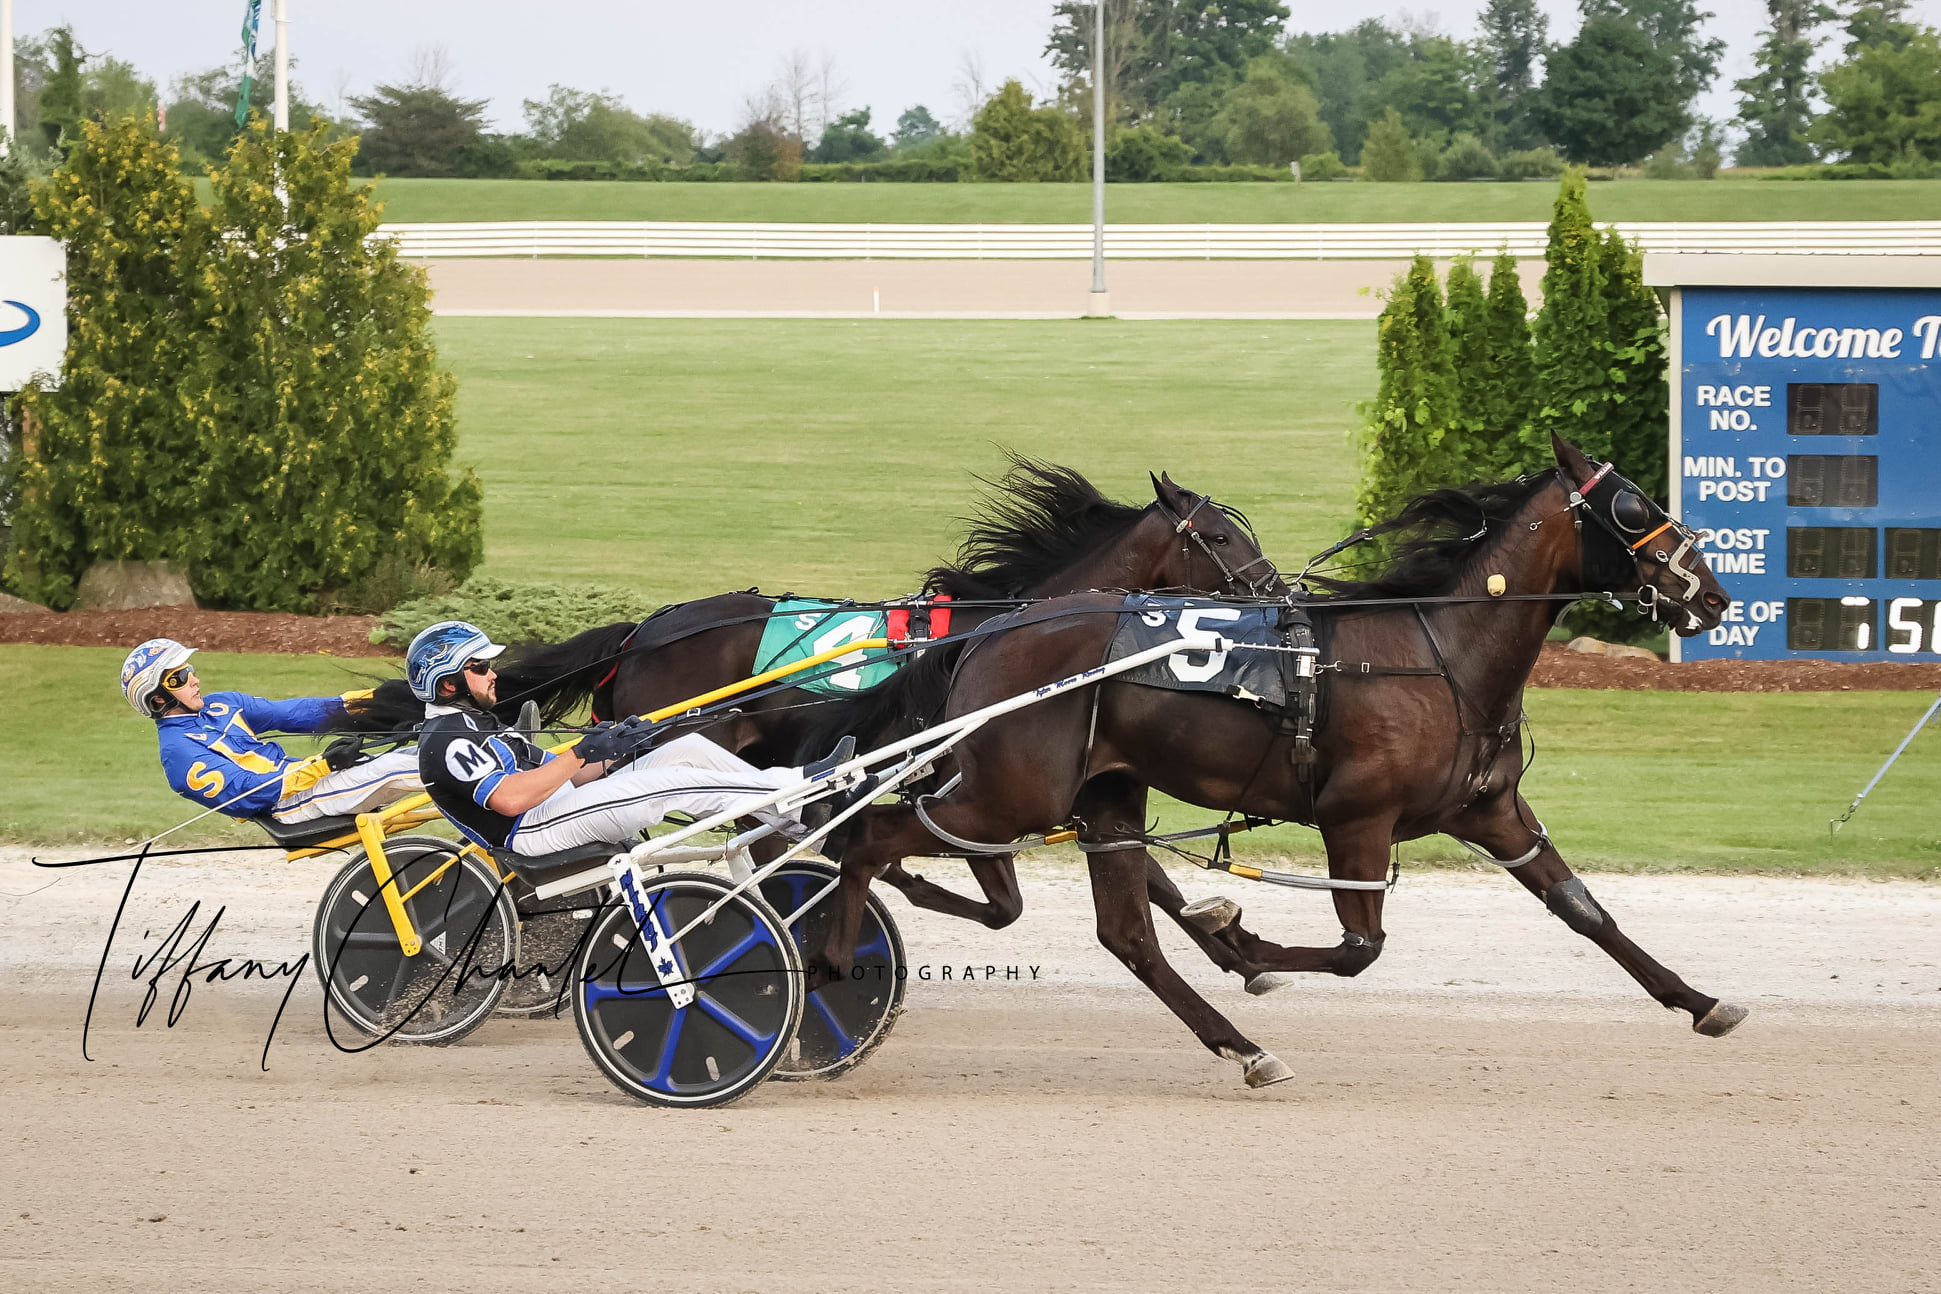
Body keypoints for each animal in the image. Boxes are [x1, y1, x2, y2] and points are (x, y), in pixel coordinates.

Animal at [815, 435, 1745, 1089]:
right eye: (1630, 508)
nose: (1711, 594)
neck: (1440, 652)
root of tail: (994, 631)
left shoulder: (1491, 811)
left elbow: (1585, 911)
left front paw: (1702, 1002)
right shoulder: (1355, 817)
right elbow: (1356, 948)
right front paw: (1241, 935)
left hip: (1101, 794)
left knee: (1125, 936)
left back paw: (1241, 1047)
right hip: (1012, 793)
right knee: (866, 837)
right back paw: (828, 963)